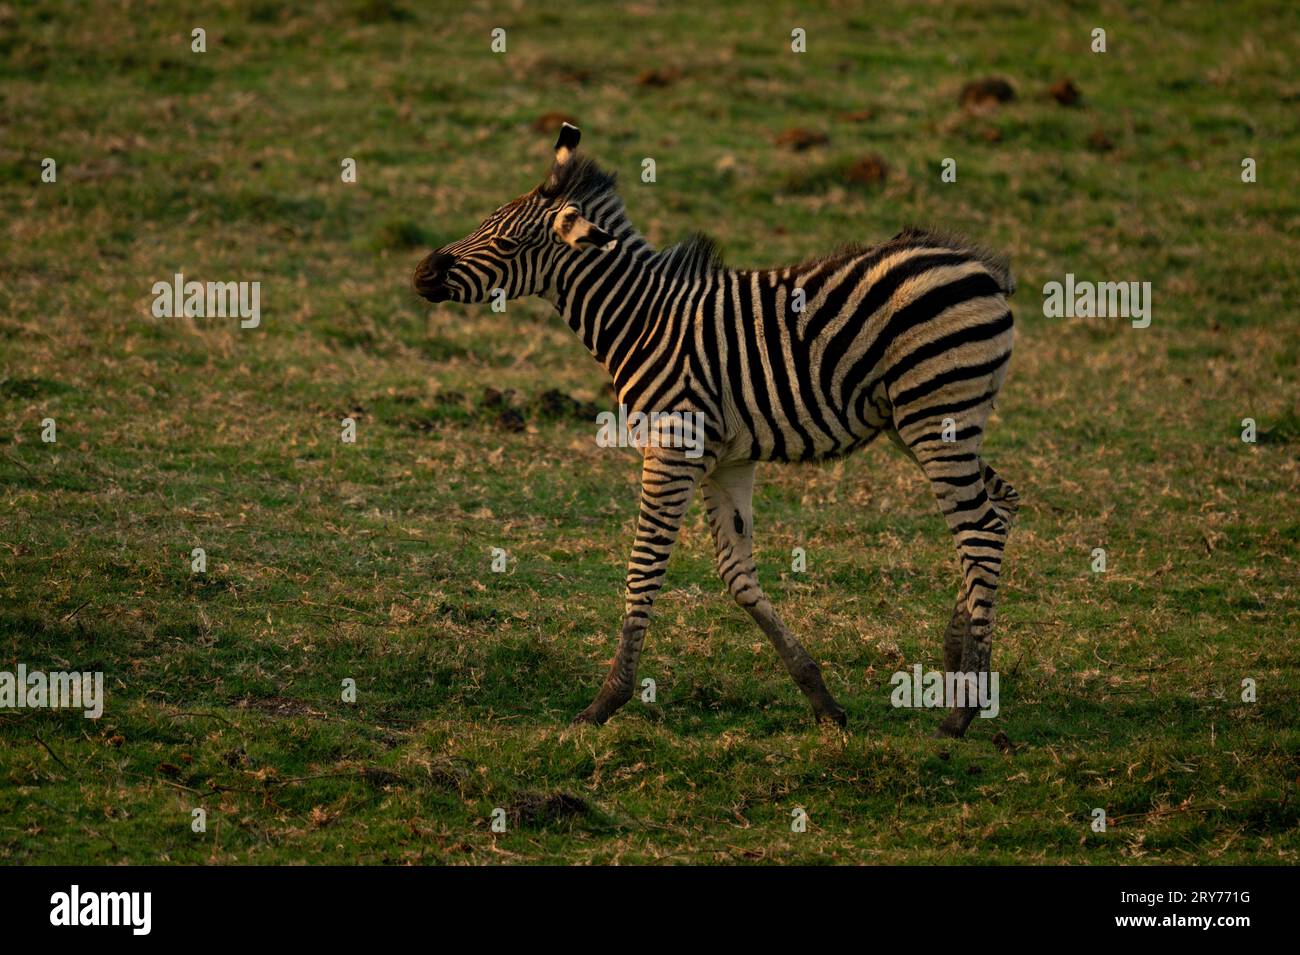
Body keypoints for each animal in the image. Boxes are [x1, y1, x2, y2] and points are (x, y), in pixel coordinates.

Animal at [414, 124, 1019, 738]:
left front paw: (606, 701)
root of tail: (977, 266)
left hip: (935, 412)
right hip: (923, 421)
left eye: (507, 244)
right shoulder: (726, 458)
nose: (422, 274)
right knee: (1000, 508)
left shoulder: (673, 447)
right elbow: (737, 573)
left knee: (977, 528)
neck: (641, 322)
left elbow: (644, 567)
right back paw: (956, 659)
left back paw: (964, 708)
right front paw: (820, 697)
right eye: (484, 223)